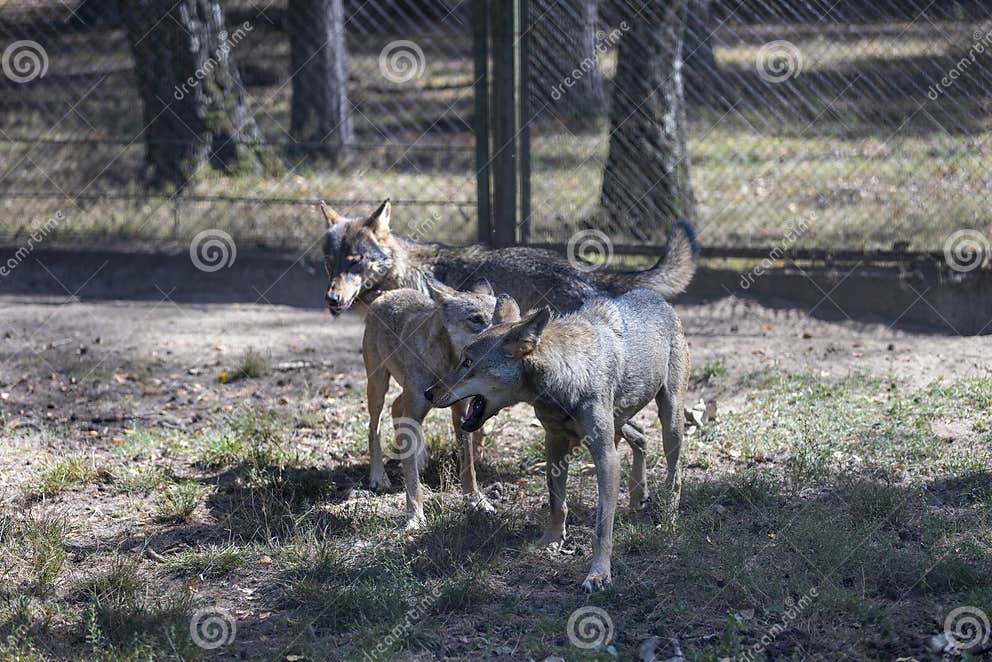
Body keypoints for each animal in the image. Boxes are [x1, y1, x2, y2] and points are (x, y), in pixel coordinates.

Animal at [362, 278, 518, 528]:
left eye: (500, 317)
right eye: (475, 319)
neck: (447, 366)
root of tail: (387, 293)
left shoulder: (462, 415)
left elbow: (469, 469)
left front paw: (477, 502)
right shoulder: (415, 410)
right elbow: (412, 480)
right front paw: (415, 517)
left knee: (396, 410)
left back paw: (418, 457)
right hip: (377, 387)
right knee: (374, 428)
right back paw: (378, 477)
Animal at [425, 288, 689, 592]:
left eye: (468, 363)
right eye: (461, 360)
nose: (428, 393)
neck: (565, 377)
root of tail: (655, 296)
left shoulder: (605, 456)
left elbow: (601, 527)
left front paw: (598, 574)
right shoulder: (554, 444)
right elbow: (556, 504)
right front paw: (549, 542)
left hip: (670, 421)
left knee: (674, 474)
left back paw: (668, 517)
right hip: (620, 422)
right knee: (641, 436)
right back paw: (638, 496)